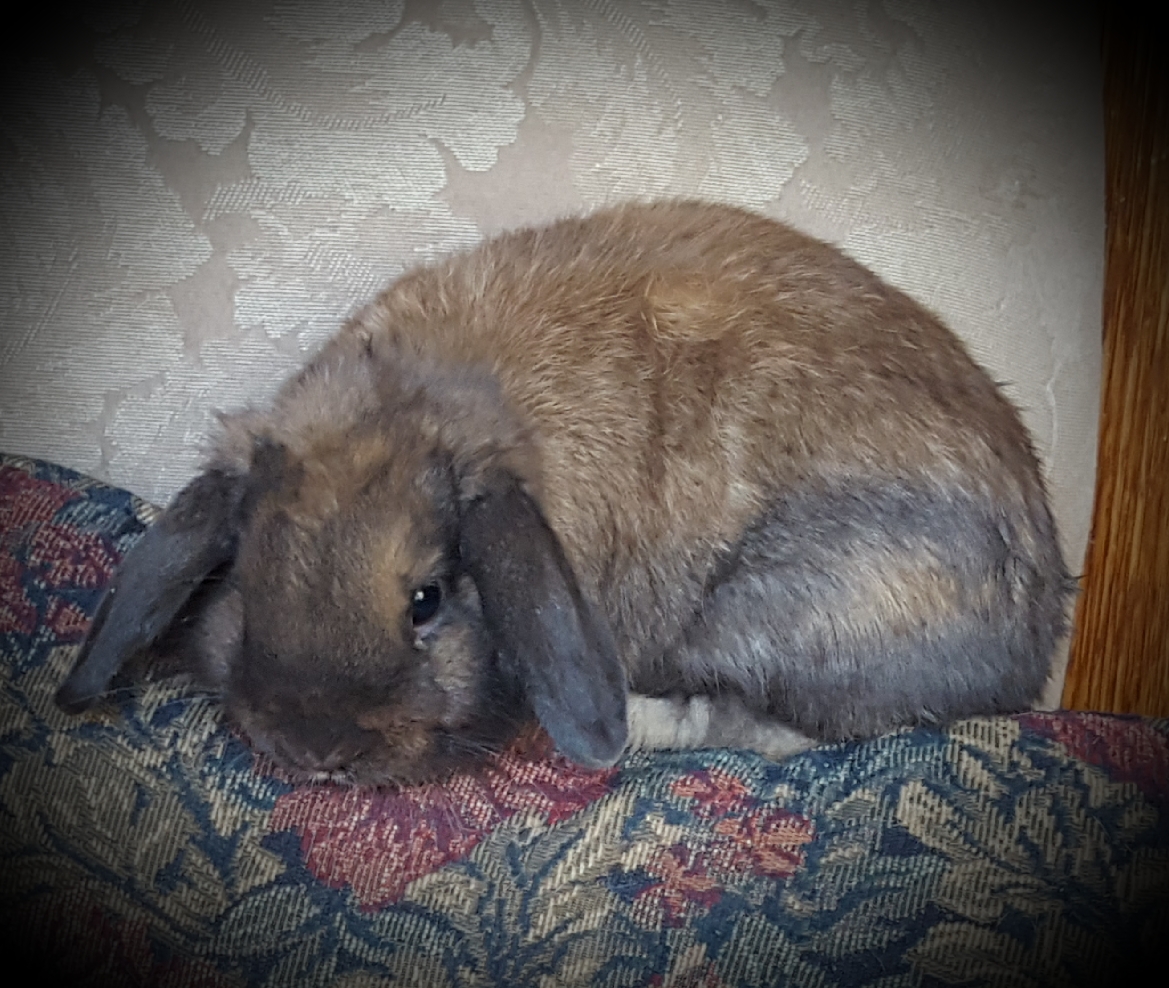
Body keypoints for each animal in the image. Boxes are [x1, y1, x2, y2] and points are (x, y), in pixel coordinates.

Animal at [56, 200, 1073, 787]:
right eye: (247, 577)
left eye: (427, 601)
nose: (315, 752)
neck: (425, 393)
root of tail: (1032, 641)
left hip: (775, 614)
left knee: (787, 729)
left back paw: (646, 726)